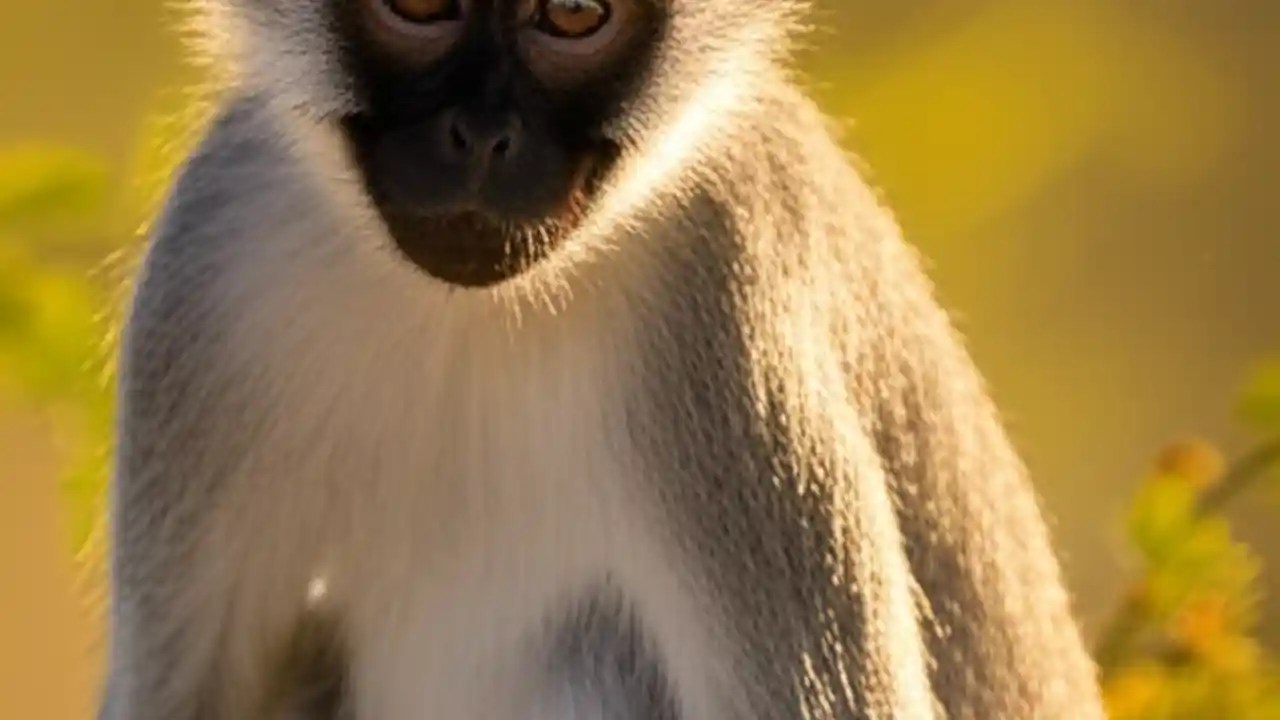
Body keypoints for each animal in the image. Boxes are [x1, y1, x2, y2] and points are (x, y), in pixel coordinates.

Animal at [101, 0, 1105, 717]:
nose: (482, 136)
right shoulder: (216, 248)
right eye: (421, 2)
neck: (473, 315)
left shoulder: (731, 302)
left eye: (575, 15)